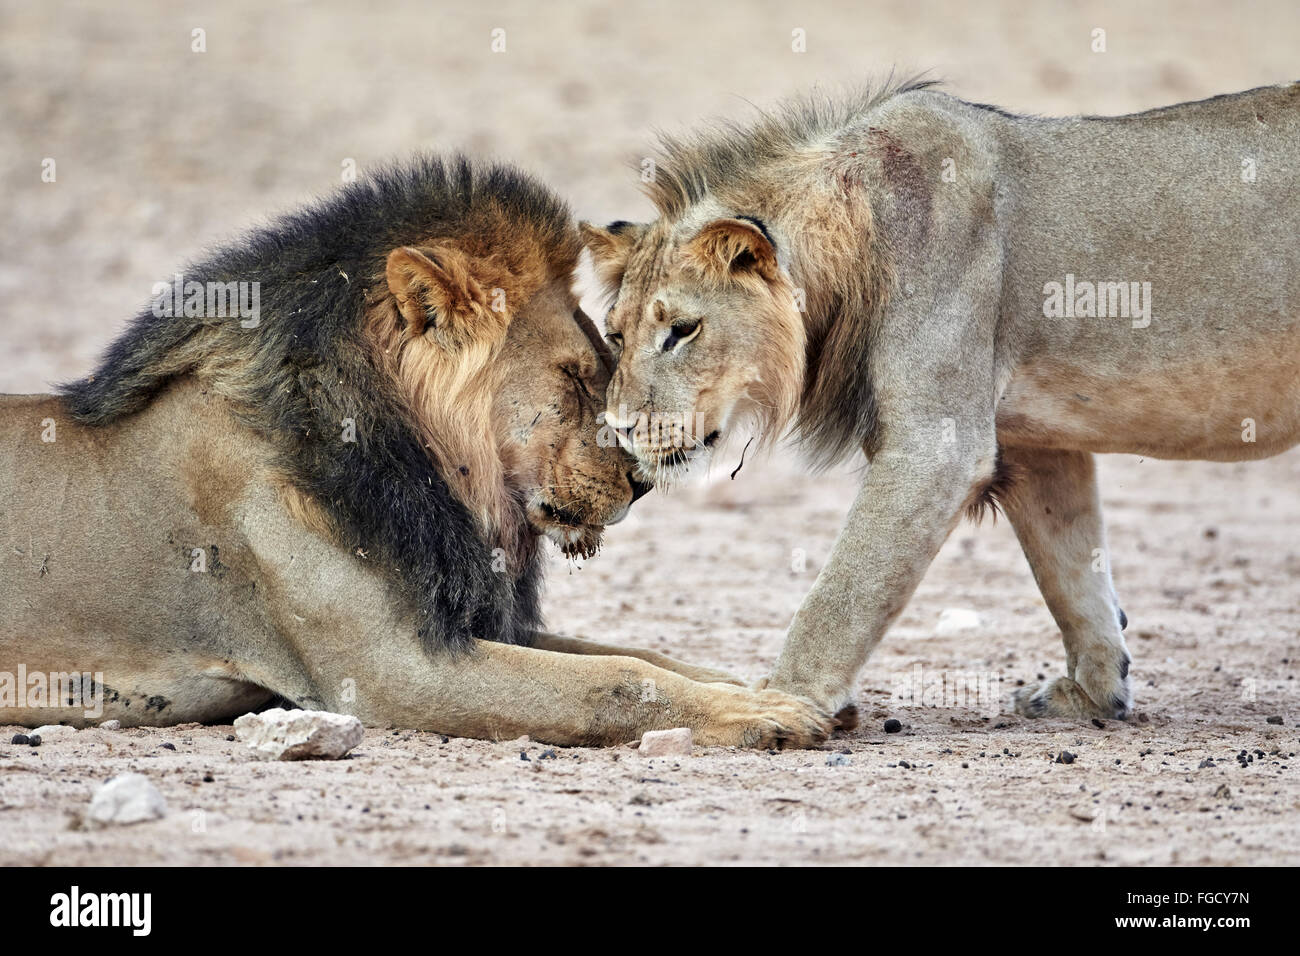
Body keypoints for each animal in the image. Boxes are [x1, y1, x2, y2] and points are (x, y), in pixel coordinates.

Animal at [0, 155, 833, 748]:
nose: (641, 481)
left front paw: (762, 691)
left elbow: (642, 654)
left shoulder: (463, 619)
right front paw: (767, 715)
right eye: (573, 374)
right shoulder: (395, 668)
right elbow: (616, 679)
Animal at [582, 79, 1300, 727]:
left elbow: (841, 592)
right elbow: (1073, 571)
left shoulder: (936, 447)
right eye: (615, 335)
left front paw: (782, 701)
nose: (617, 429)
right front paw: (1096, 693)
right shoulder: (1036, 445)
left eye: (683, 331)